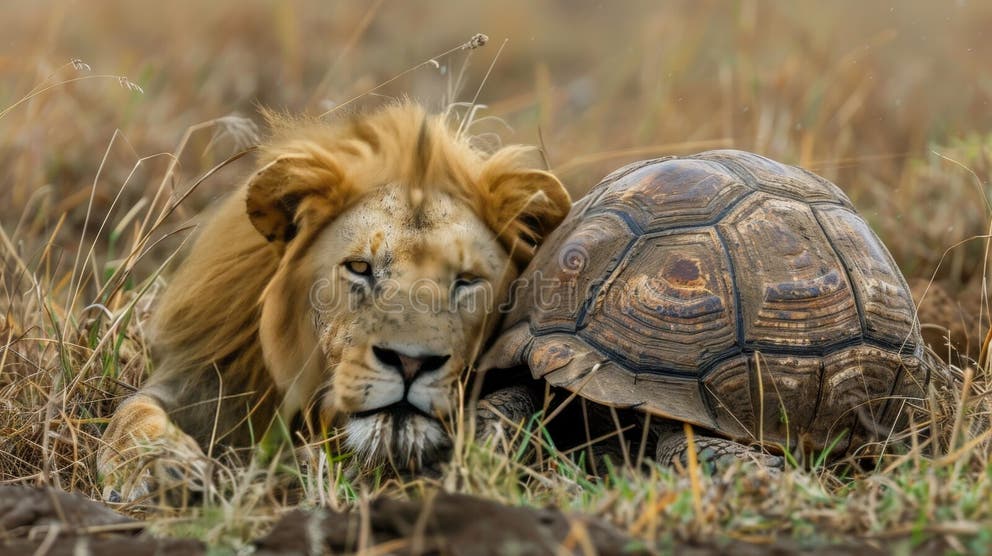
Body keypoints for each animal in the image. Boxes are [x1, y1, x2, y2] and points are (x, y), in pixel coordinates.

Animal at [97, 102, 571, 502]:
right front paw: (159, 466)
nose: (411, 363)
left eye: (467, 281)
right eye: (360, 267)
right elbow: (129, 411)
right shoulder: (207, 379)